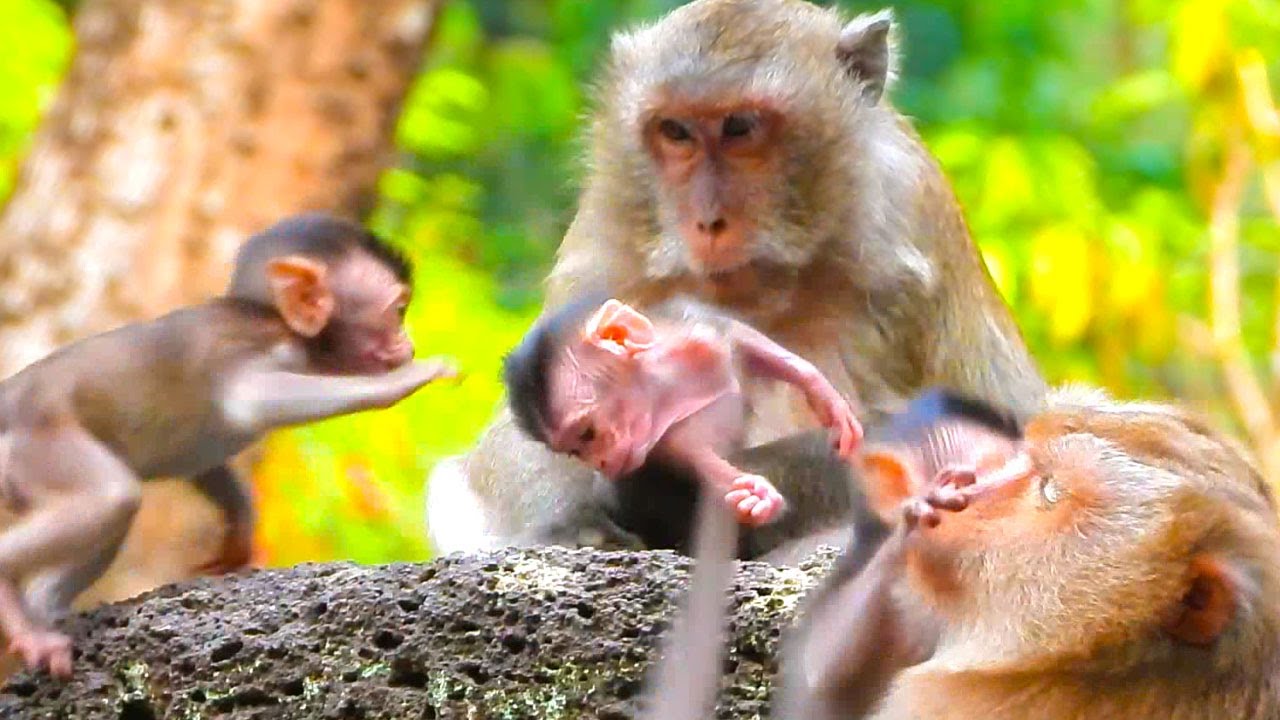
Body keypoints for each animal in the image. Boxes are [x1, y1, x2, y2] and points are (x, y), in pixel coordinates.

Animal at [0, 212, 455, 678]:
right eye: (397, 311)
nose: (408, 345)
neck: (272, 318)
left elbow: (202, 466)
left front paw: (239, 524)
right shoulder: (254, 351)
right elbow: (251, 400)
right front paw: (406, 380)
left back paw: (43, 610)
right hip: (41, 446)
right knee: (110, 497)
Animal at [501, 294, 861, 533]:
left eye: (587, 433)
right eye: (575, 451)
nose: (602, 463)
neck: (670, 394)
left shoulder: (697, 338)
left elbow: (740, 336)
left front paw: (827, 400)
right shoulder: (671, 444)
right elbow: (707, 464)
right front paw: (756, 497)